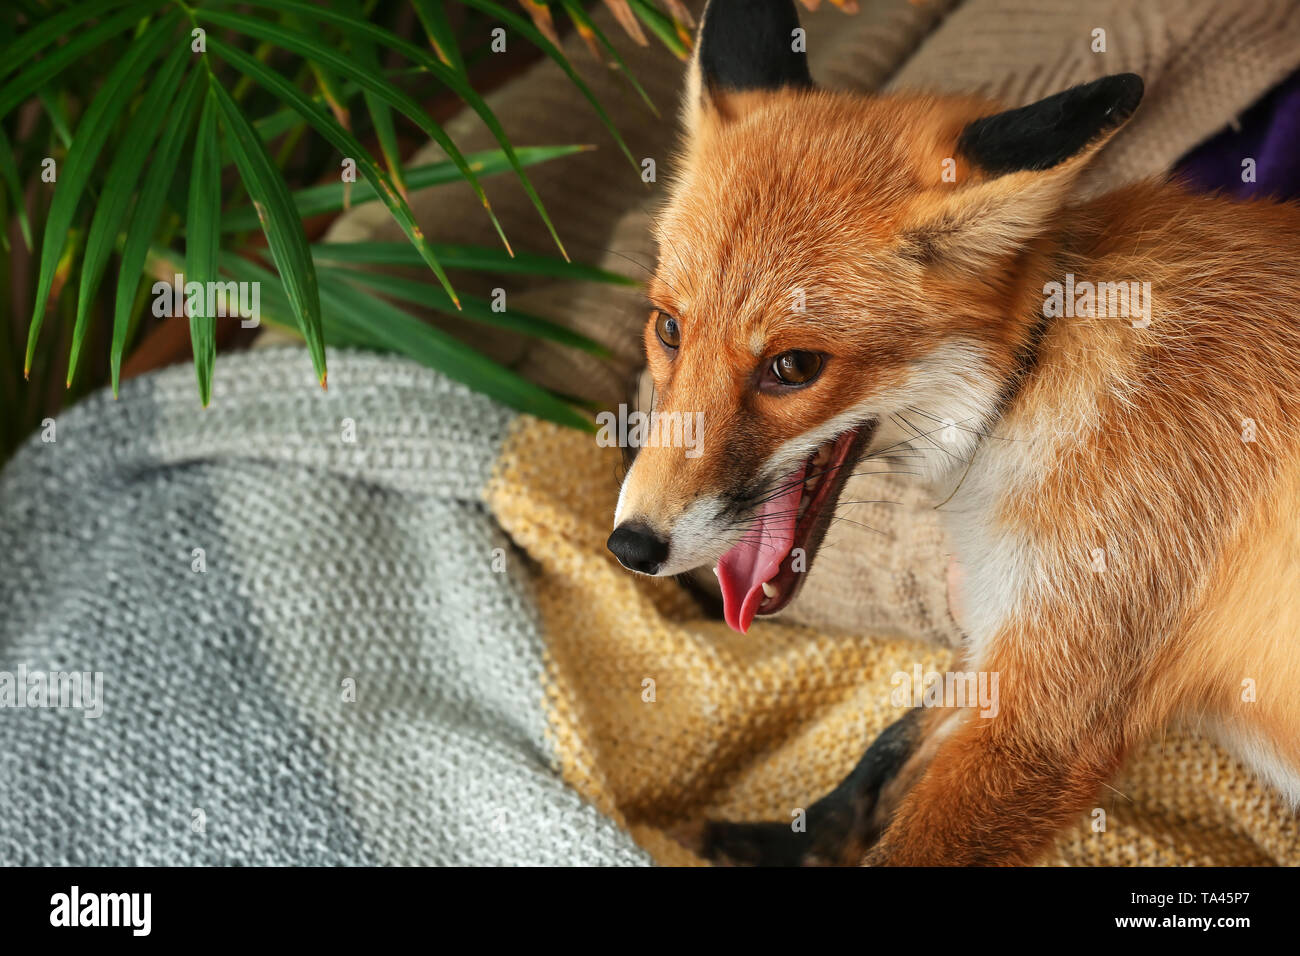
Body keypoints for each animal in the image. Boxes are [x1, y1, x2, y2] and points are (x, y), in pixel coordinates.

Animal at [605, 0, 1300, 866]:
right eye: (668, 328)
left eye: (792, 367)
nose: (630, 545)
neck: (1043, 356)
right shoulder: (1011, 626)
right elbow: (884, 751)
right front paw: (775, 841)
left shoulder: (1055, 709)